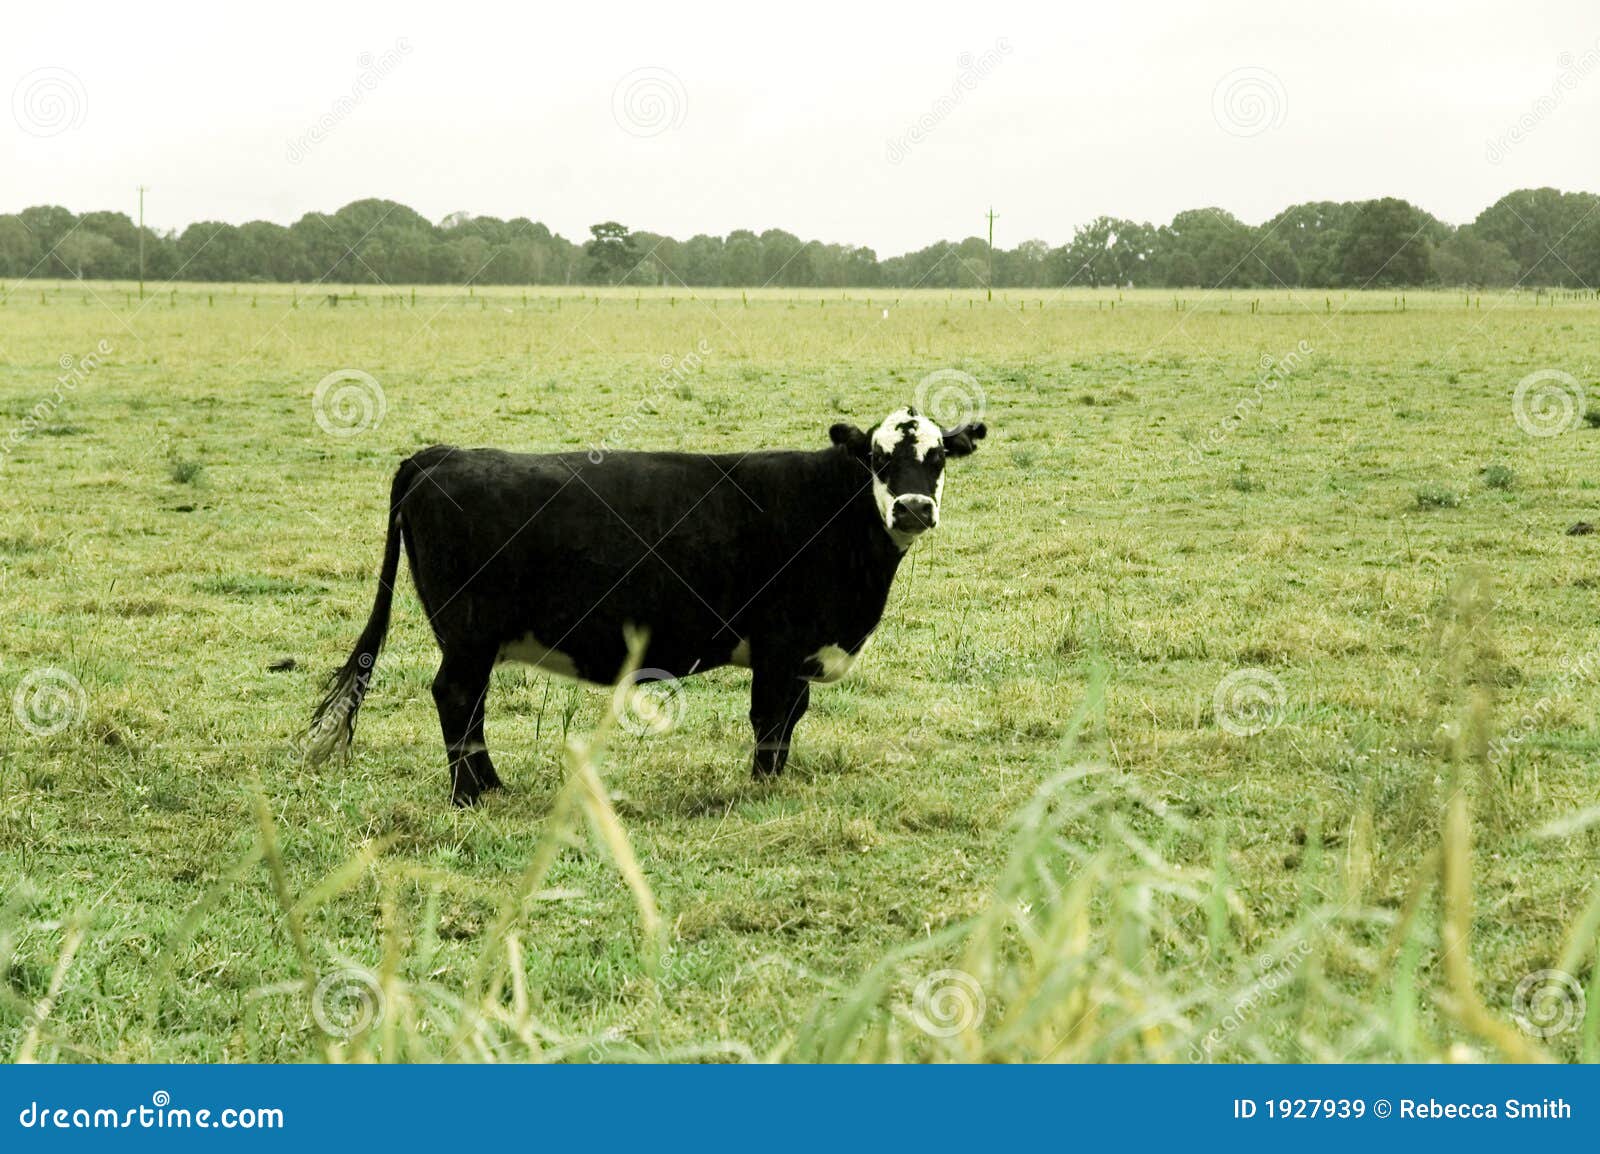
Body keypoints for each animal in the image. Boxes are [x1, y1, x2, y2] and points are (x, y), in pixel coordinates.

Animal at [305, 407, 986, 806]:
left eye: (937, 458)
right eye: (878, 458)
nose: (914, 508)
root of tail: (440, 455)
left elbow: (789, 717)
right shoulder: (781, 645)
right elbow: (773, 719)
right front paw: (765, 786)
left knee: (466, 704)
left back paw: (490, 787)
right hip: (470, 634)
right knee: (455, 697)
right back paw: (472, 795)